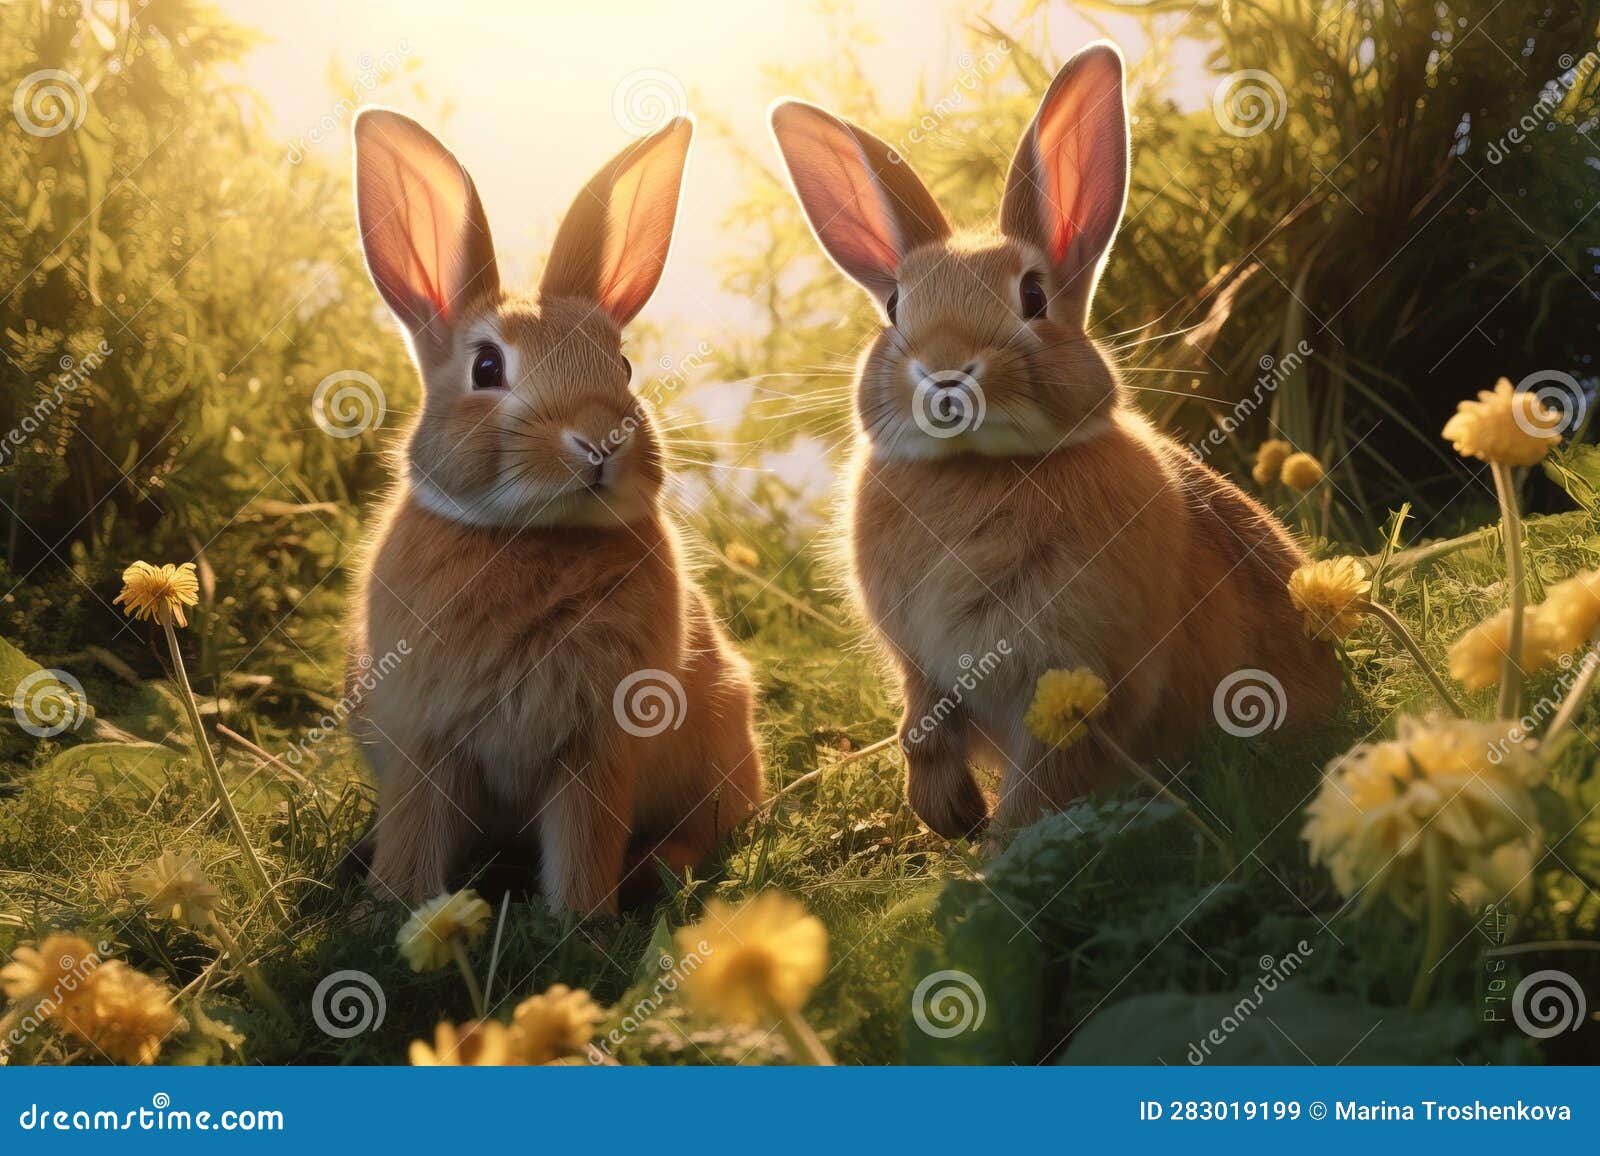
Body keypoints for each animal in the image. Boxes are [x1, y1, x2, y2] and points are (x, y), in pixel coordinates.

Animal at [346, 108, 762, 911]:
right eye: (486, 367)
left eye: (622, 365)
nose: (600, 441)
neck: (533, 535)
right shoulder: (424, 737)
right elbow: (415, 824)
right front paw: (395, 902)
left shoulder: (596, 746)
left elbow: (582, 836)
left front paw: (580, 916)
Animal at [768, 41, 1340, 839]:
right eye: (895, 306)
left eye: (1033, 298)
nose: (945, 371)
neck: (981, 468)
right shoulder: (922, 669)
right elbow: (920, 726)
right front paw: (949, 813)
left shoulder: (1076, 677)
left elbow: (1044, 784)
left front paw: (997, 849)